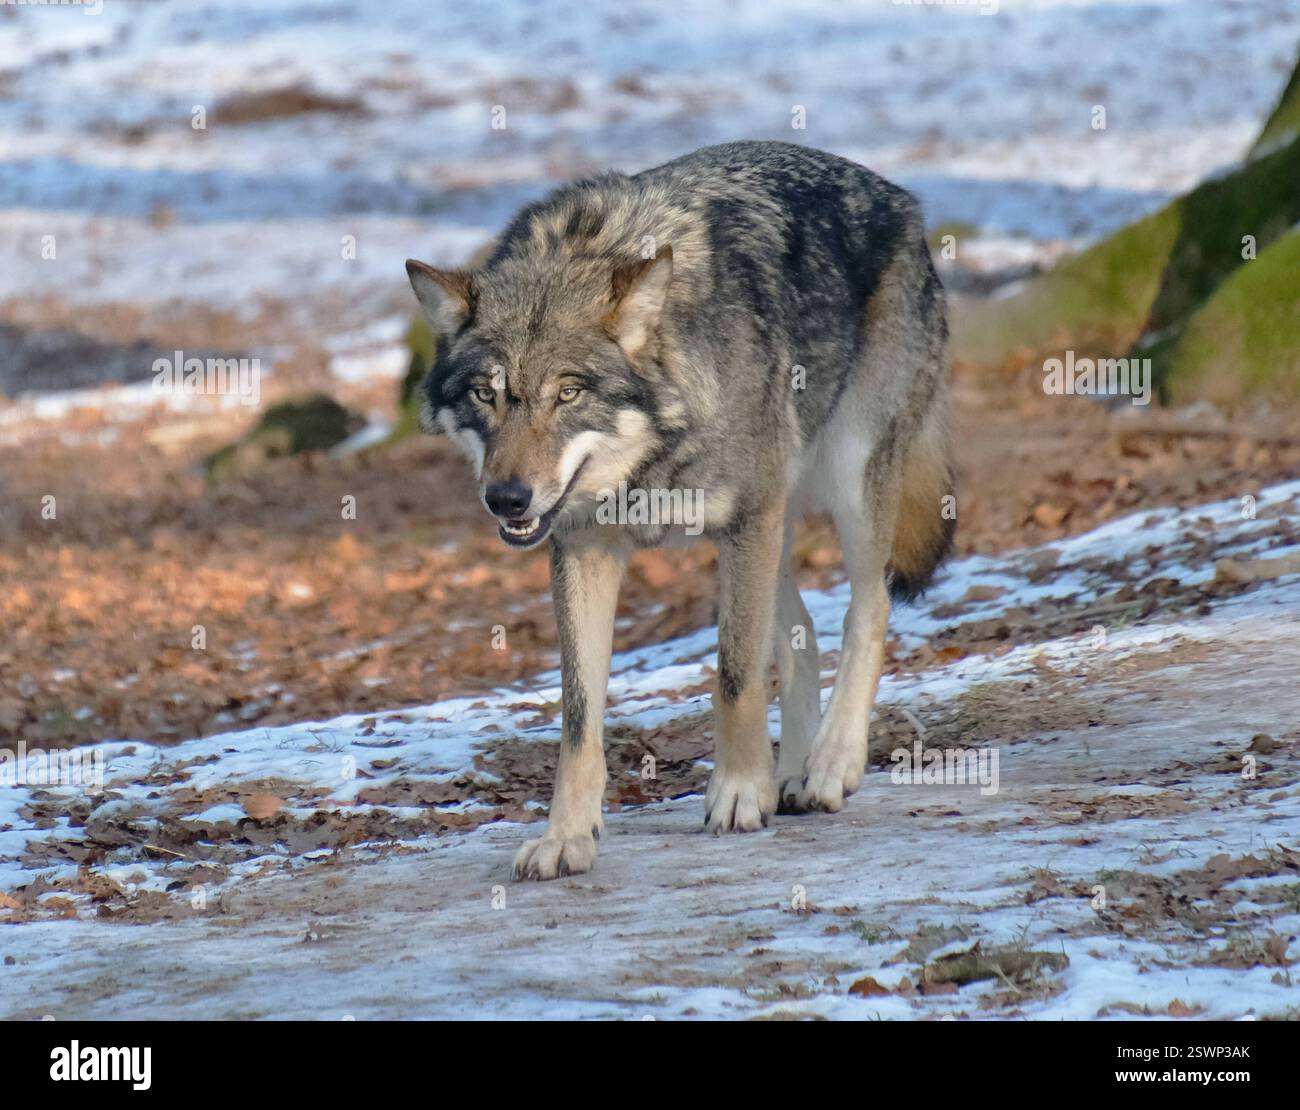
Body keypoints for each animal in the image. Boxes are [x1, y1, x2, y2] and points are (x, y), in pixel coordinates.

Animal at [406, 141, 953, 880]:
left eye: (568, 393)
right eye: (486, 395)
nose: (507, 498)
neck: (650, 461)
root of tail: (901, 198)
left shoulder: (745, 522)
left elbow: (735, 675)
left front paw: (739, 794)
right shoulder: (586, 548)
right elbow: (578, 715)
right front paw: (566, 837)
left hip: (845, 482)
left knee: (868, 609)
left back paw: (830, 763)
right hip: (773, 523)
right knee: (803, 630)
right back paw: (792, 771)